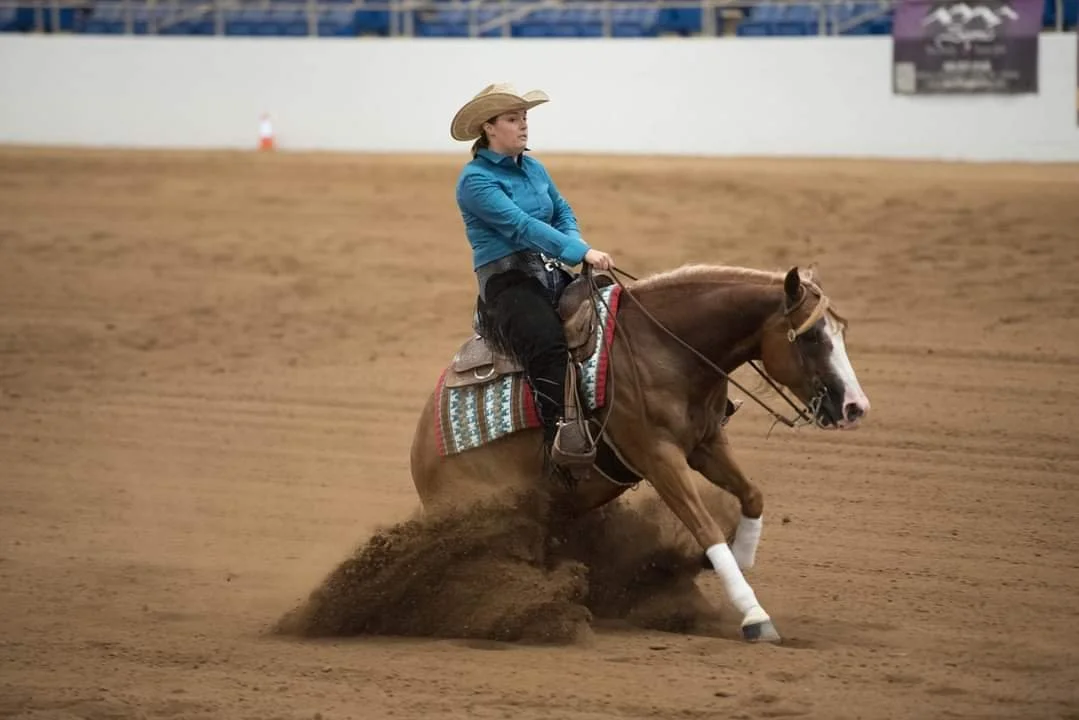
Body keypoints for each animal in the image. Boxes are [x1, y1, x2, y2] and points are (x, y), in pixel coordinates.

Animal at [408, 262, 871, 644]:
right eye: (811, 337)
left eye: (841, 333)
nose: (855, 407)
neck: (666, 348)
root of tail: (420, 451)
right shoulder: (658, 458)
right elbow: (706, 527)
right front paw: (754, 614)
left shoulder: (706, 444)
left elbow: (753, 496)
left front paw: (735, 560)